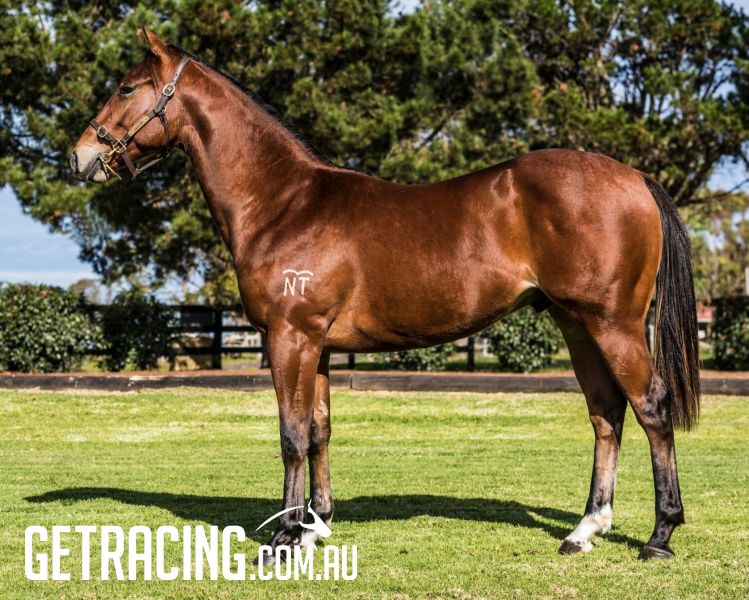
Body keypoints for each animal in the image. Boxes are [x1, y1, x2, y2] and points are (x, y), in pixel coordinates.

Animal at [70, 28, 700, 561]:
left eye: (127, 86)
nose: (79, 156)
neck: (283, 201)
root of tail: (634, 178)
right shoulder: (318, 347)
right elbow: (320, 432)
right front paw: (314, 526)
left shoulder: (289, 339)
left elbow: (291, 436)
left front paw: (282, 538)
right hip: (577, 324)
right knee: (606, 413)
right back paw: (584, 530)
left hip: (613, 324)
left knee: (651, 407)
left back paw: (660, 536)